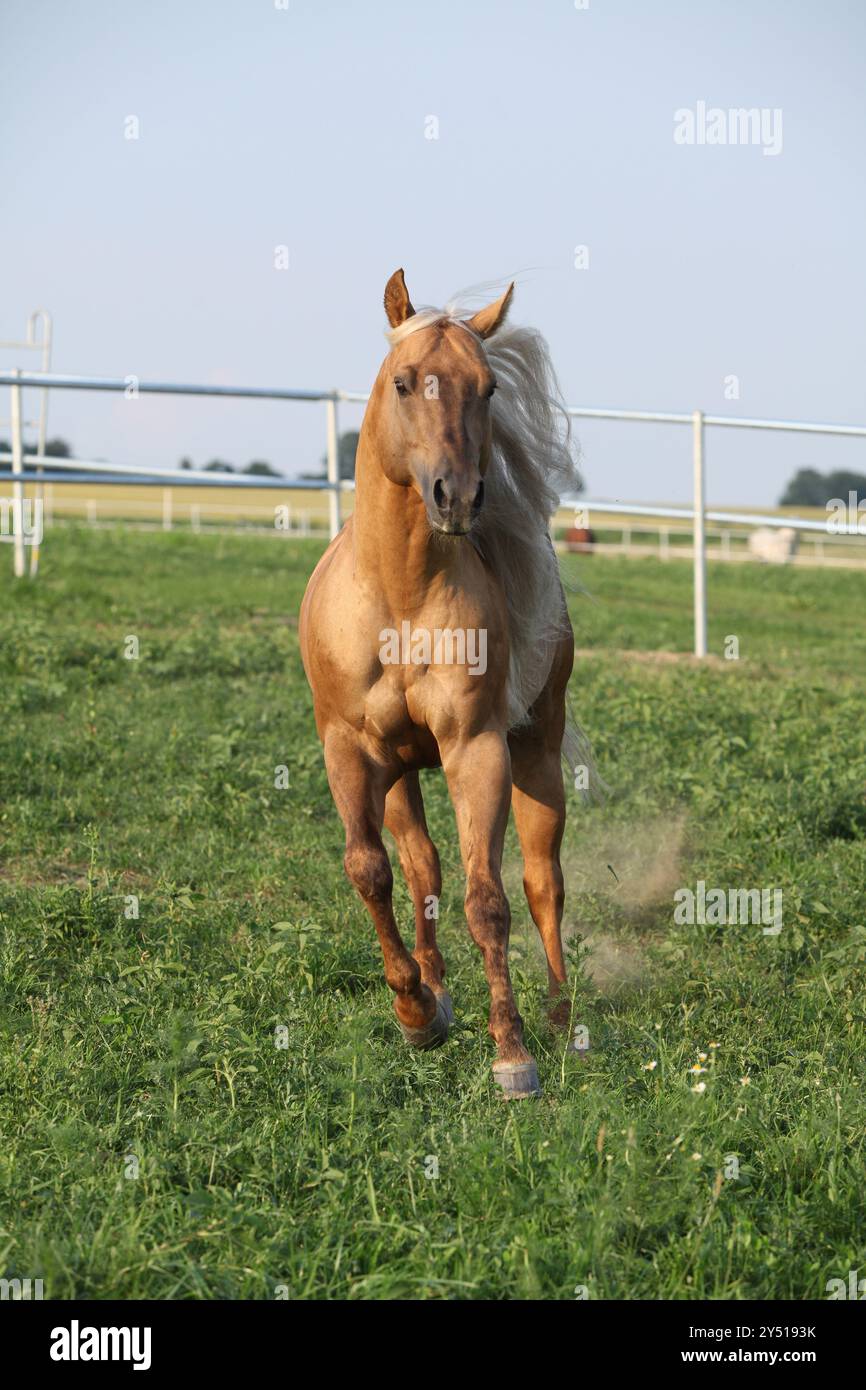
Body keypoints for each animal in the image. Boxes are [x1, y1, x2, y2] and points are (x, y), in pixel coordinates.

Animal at [299, 270, 581, 1099]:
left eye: (488, 389)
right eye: (404, 382)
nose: (456, 496)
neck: (397, 592)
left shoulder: (475, 748)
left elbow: (489, 899)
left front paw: (512, 1054)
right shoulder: (348, 750)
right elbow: (371, 871)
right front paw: (416, 1011)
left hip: (537, 755)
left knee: (543, 882)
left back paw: (562, 1019)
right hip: (398, 772)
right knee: (420, 864)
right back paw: (436, 990)